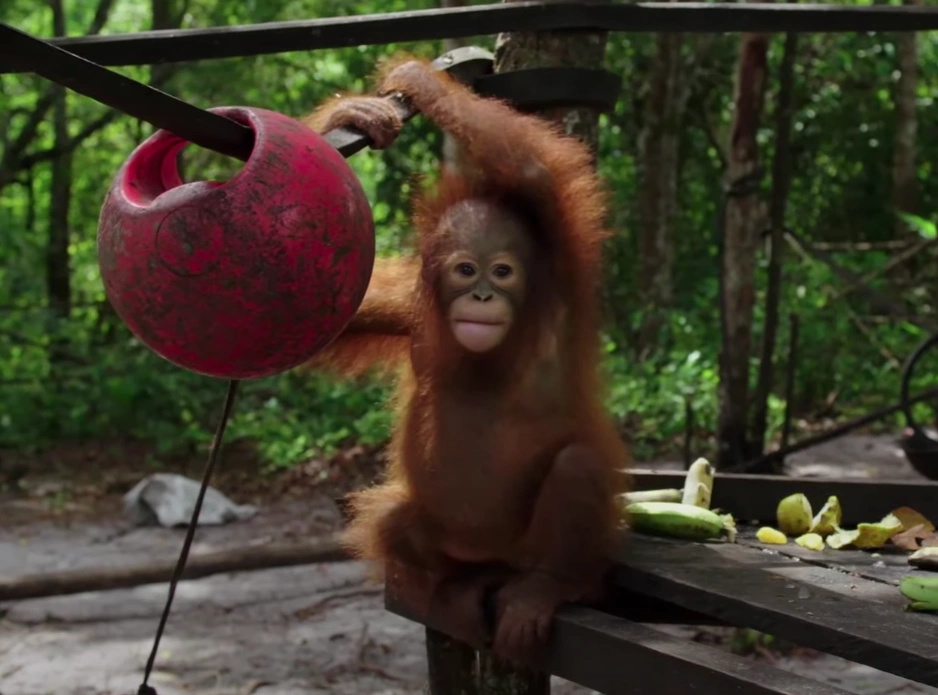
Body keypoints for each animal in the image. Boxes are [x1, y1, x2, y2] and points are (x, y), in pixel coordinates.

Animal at [298, 59, 630, 665]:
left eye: (502, 271)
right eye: (464, 270)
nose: (481, 296)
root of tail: (496, 561)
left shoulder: (563, 268)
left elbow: (533, 173)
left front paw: (419, 80)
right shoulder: (409, 303)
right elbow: (322, 307)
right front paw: (354, 113)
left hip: (533, 550)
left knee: (577, 465)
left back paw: (548, 588)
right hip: (449, 537)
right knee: (393, 519)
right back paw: (456, 587)